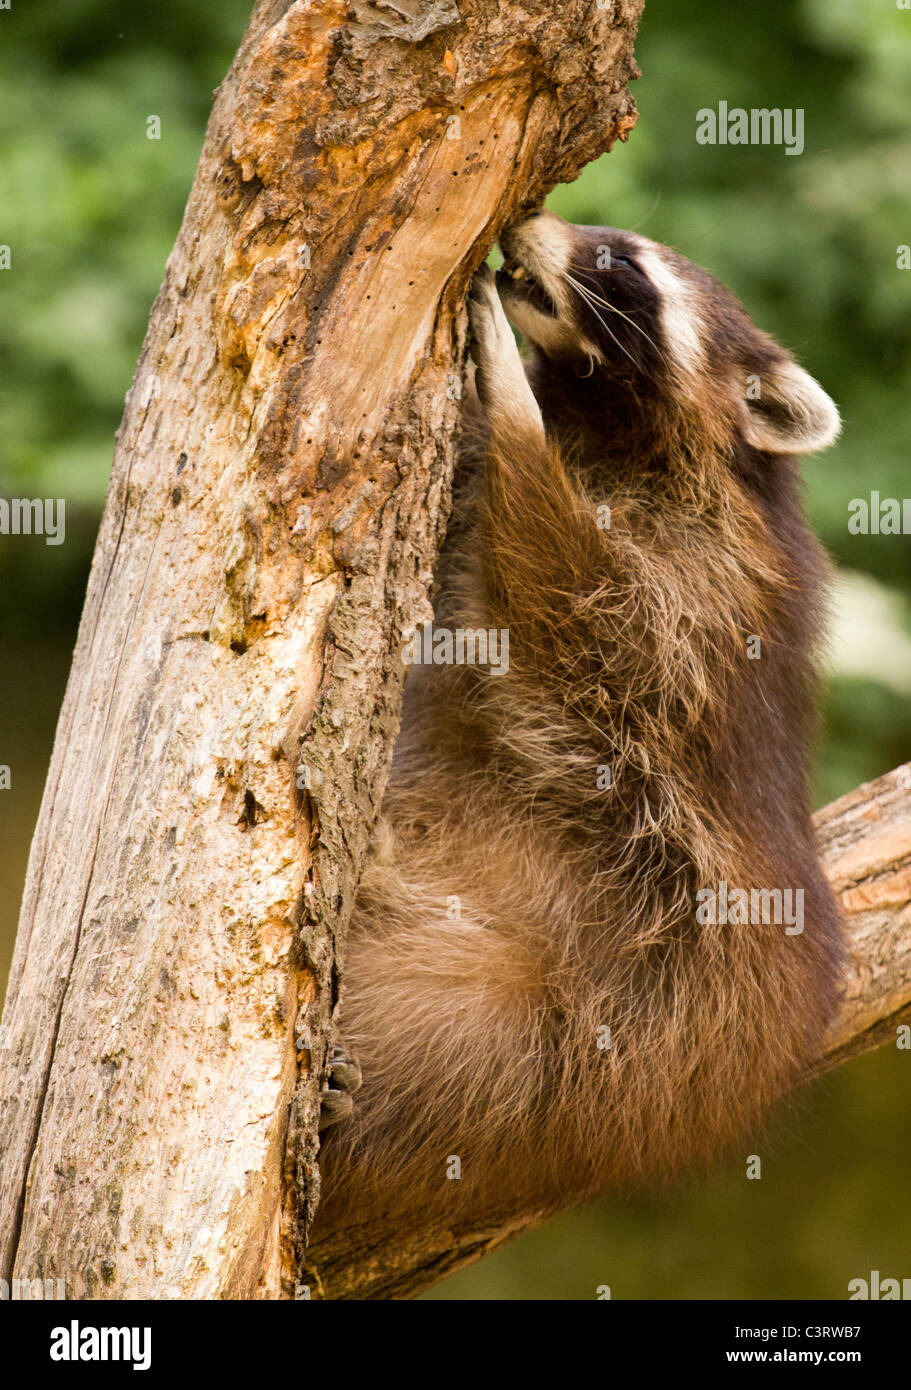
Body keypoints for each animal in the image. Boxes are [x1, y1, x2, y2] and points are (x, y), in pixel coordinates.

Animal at [310, 210, 844, 1256]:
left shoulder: (702, 593)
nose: (529, 222)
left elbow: (581, 607)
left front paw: (511, 408)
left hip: (612, 1029)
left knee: (464, 1044)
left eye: (619, 260)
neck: (607, 427)